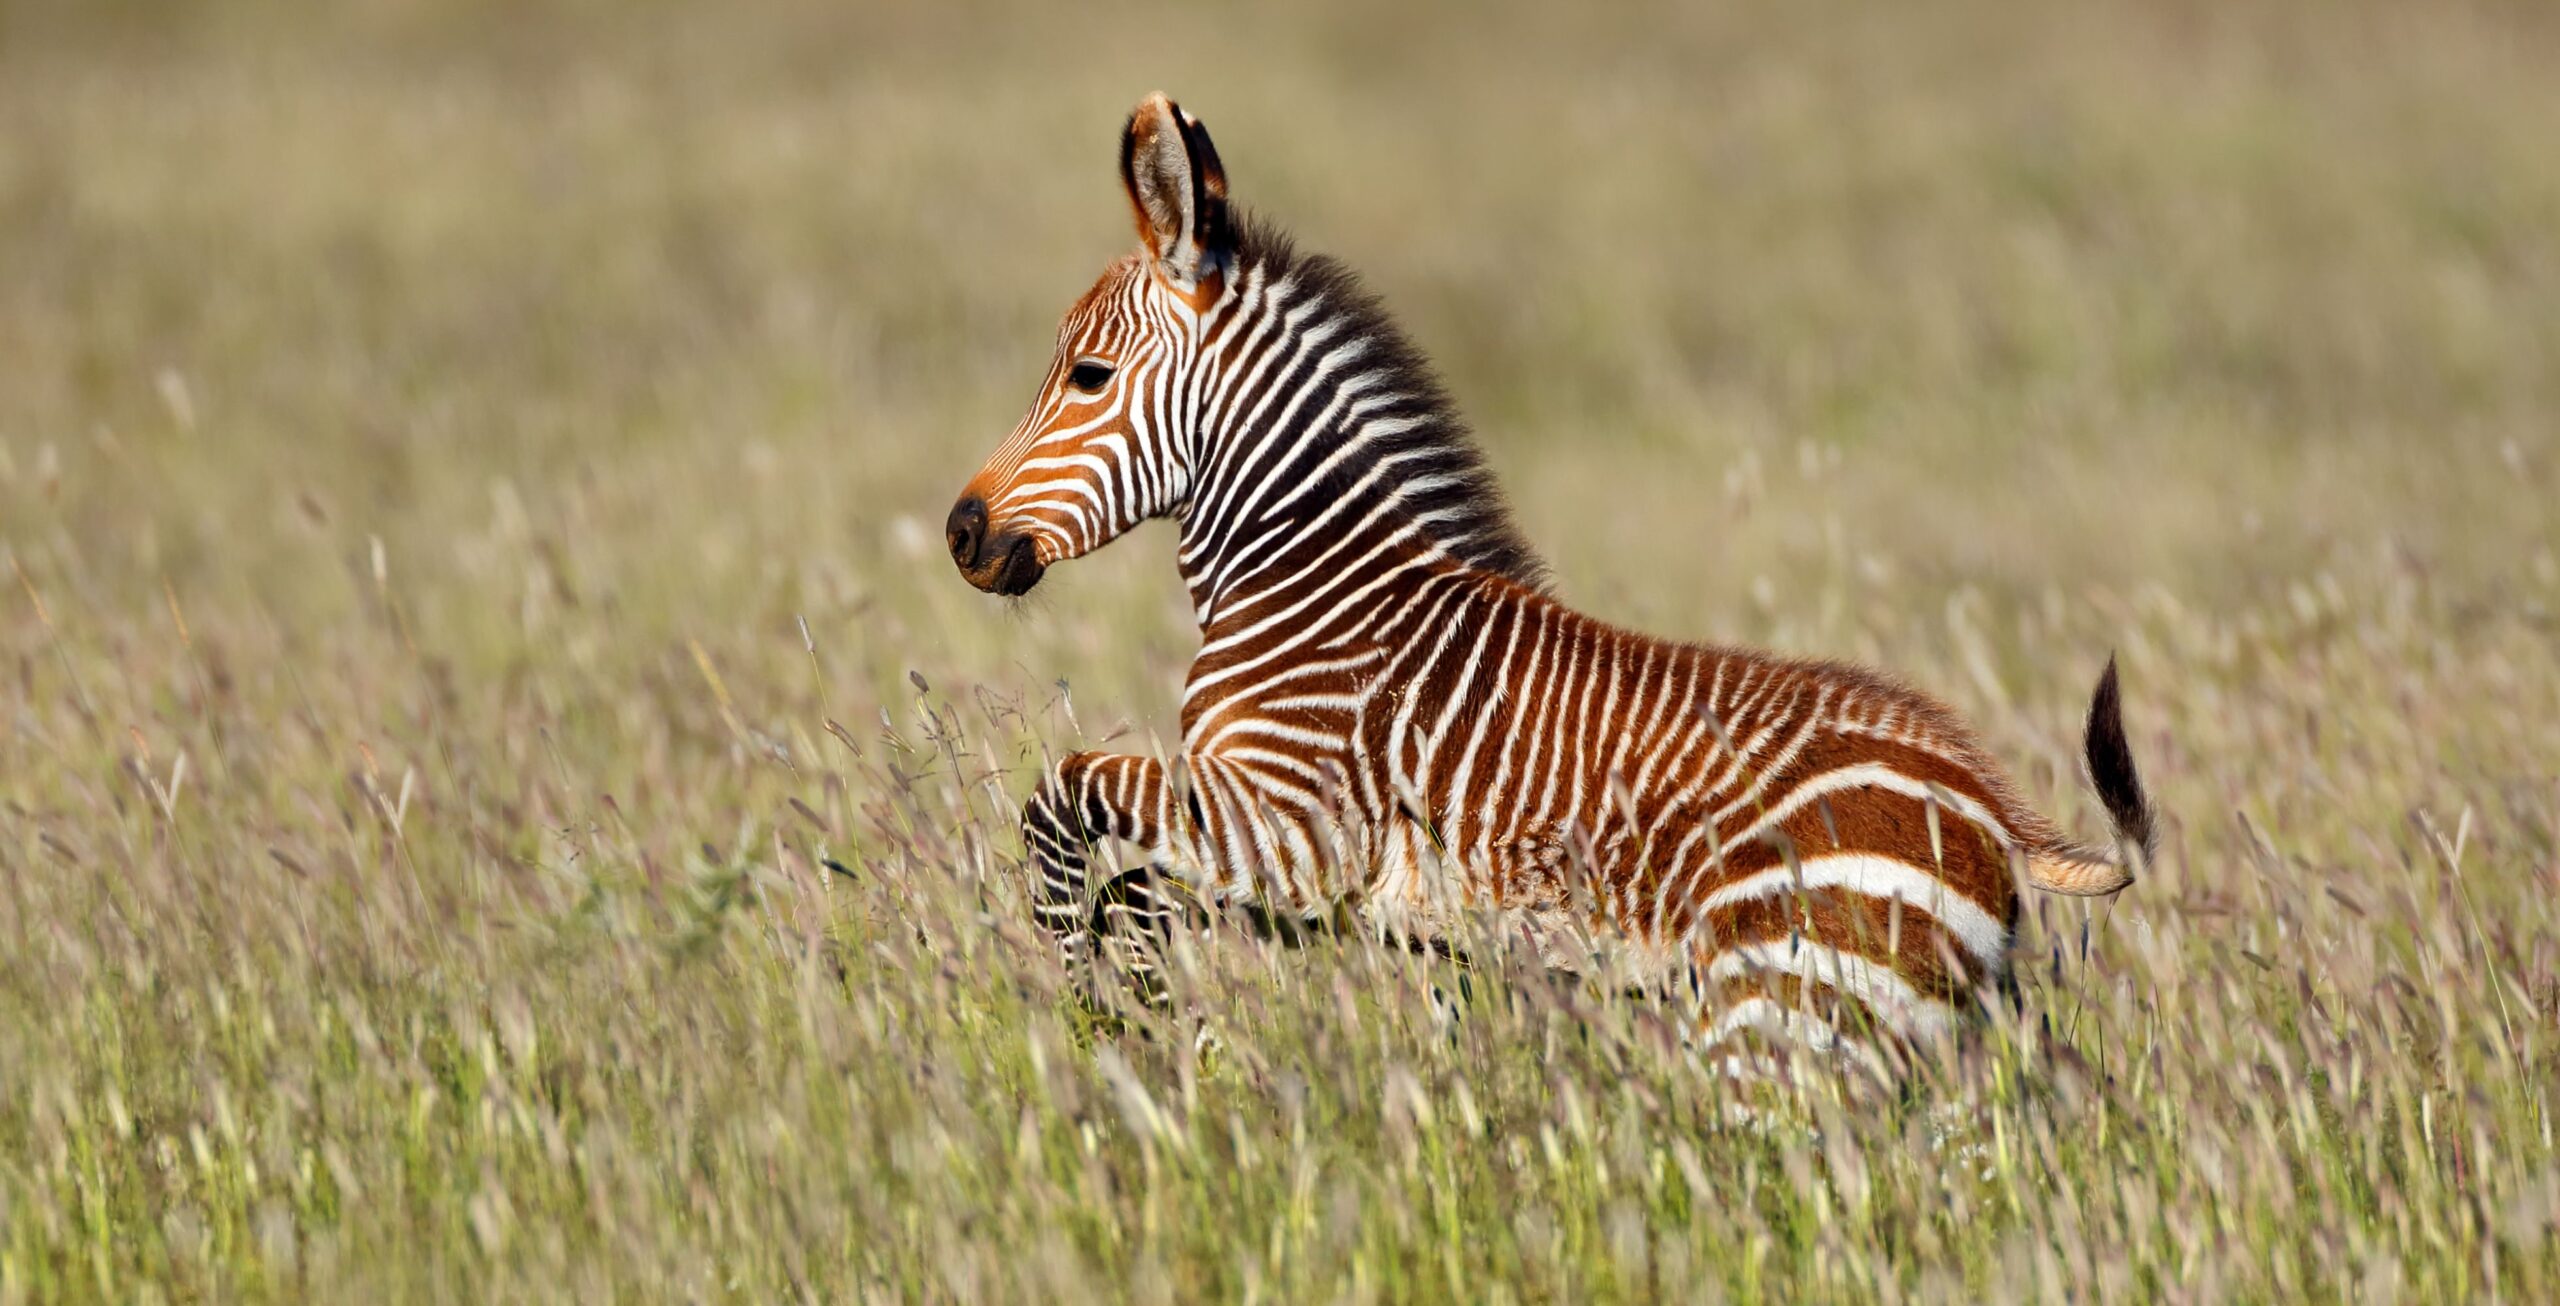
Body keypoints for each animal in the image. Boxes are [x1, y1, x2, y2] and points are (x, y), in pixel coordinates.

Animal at [945, 93, 2155, 1072]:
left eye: (1088, 376)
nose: (962, 531)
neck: (1312, 582)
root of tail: (1989, 802)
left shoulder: (1294, 828)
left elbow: (1062, 799)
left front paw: (1101, 1004)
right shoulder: (1295, 877)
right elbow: (1127, 868)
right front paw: (1143, 1006)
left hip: (1784, 1014)